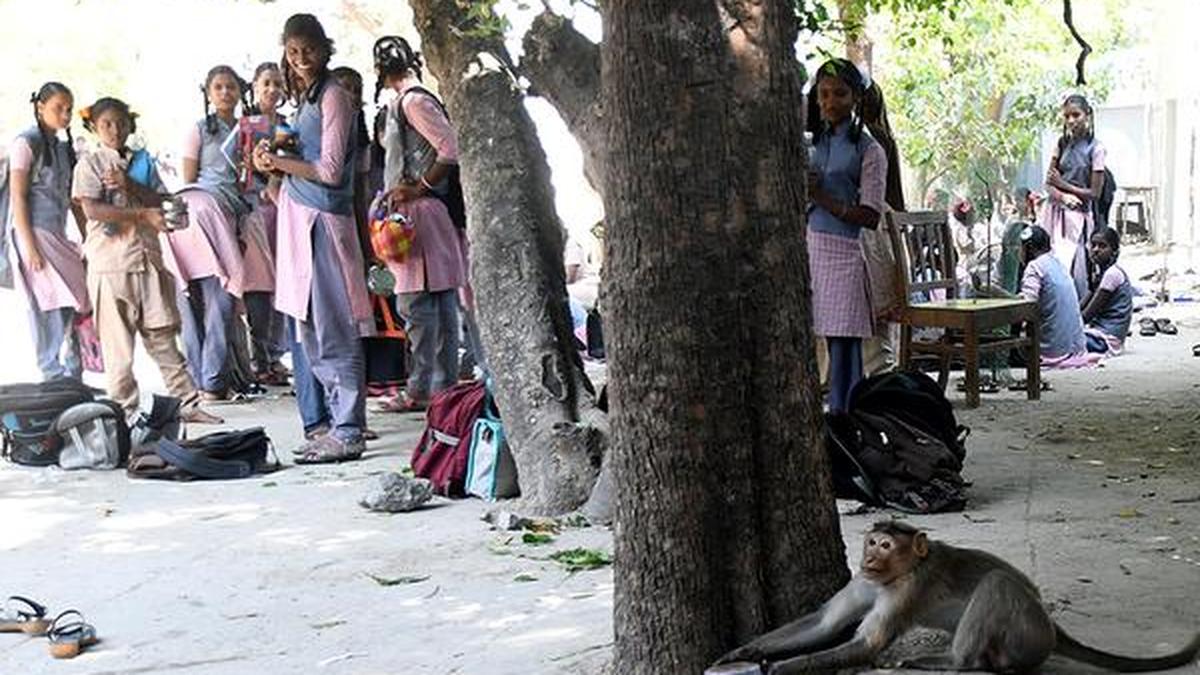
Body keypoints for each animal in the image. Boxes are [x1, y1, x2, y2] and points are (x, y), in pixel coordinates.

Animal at [714, 521, 1200, 674]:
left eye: (886, 545)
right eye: (871, 542)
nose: (868, 556)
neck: (898, 573)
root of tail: (1054, 628)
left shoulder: (910, 588)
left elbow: (868, 643)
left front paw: (779, 668)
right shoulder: (864, 583)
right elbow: (826, 624)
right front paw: (743, 651)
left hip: (1029, 637)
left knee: (997, 586)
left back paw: (951, 662)